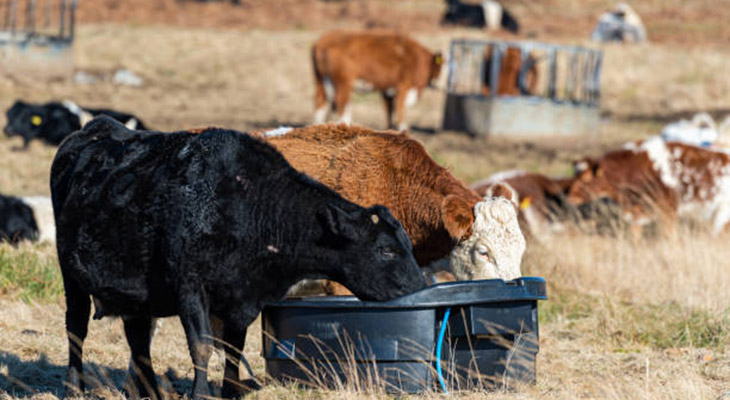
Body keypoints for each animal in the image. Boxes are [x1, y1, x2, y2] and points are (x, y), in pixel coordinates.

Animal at [51, 116, 425, 400]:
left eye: (408, 245)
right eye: (386, 250)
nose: (419, 286)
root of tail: (96, 127)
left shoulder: (242, 298)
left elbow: (234, 347)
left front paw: (231, 391)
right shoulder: (190, 287)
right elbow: (201, 345)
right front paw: (201, 394)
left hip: (137, 292)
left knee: (138, 337)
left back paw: (149, 392)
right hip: (70, 274)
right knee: (76, 329)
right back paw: (73, 388)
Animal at [312, 31, 443, 131]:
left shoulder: (388, 90)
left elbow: (389, 110)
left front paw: (391, 129)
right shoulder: (403, 85)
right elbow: (400, 108)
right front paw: (402, 128)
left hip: (321, 81)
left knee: (320, 104)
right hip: (343, 83)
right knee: (342, 106)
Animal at [566, 137, 730, 236]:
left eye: (586, 179)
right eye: (574, 175)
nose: (569, 196)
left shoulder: (668, 210)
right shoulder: (637, 210)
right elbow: (635, 234)